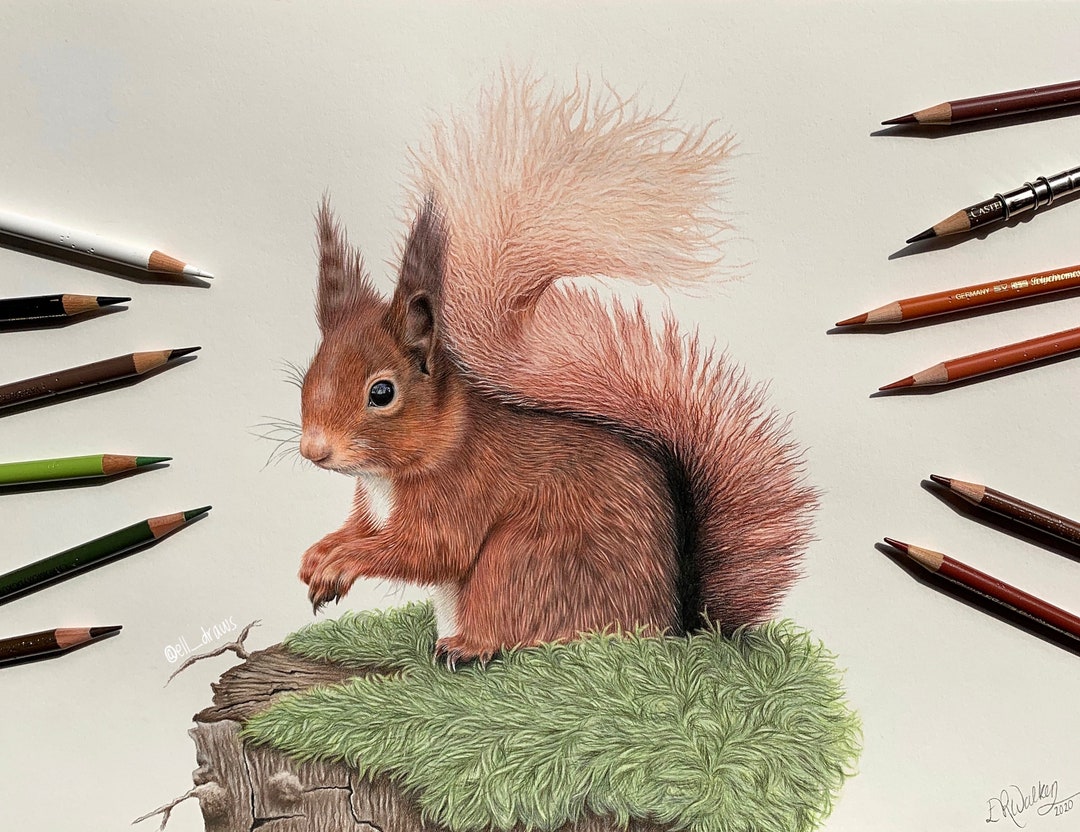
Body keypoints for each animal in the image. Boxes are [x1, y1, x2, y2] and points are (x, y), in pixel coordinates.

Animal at [298, 76, 817, 665]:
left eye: (382, 392)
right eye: (307, 376)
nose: (314, 450)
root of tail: (673, 626)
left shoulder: (464, 491)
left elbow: (433, 550)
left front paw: (344, 561)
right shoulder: (371, 509)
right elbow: (360, 531)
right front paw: (321, 554)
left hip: (523, 560)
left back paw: (469, 647)